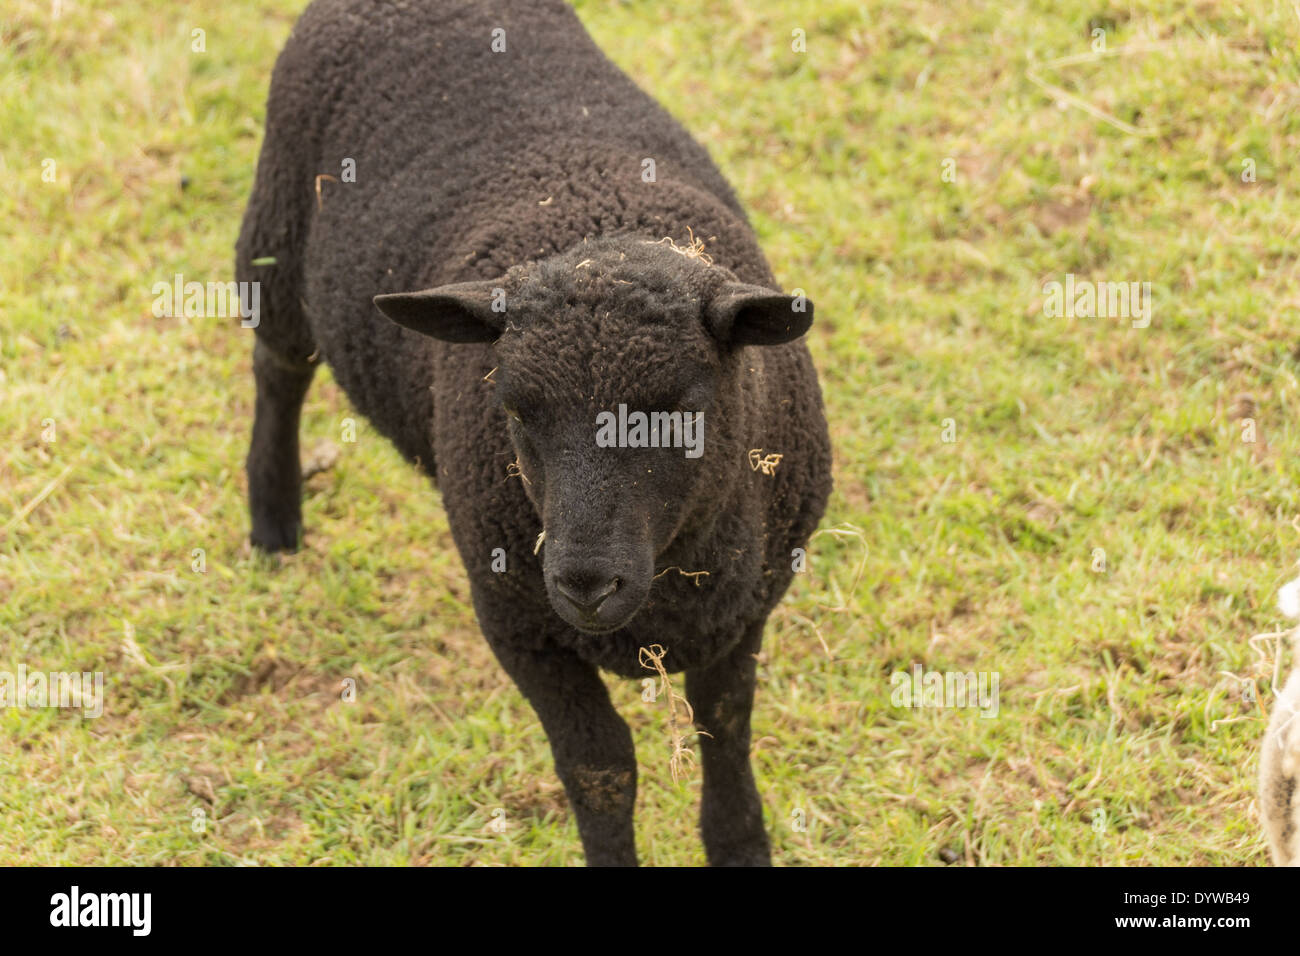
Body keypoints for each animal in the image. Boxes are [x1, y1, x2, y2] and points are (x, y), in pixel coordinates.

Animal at [235, 0, 832, 866]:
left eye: (680, 409)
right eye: (514, 409)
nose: (585, 583)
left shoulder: (747, 609)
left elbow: (725, 733)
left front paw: (740, 845)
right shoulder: (518, 623)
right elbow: (601, 769)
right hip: (277, 233)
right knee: (278, 366)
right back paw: (274, 520)